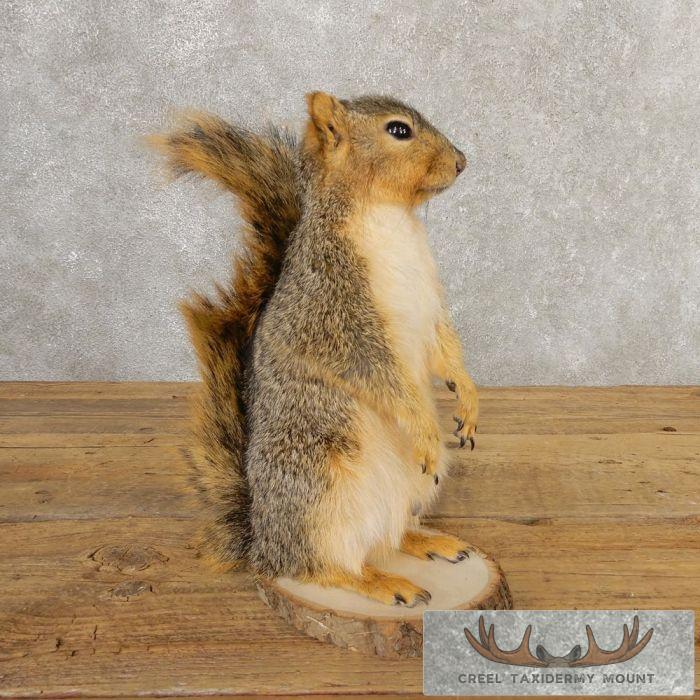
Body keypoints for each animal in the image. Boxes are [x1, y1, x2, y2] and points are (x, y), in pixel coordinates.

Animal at [149, 93, 479, 607]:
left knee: (388, 539)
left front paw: (467, 398)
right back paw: (383, 584)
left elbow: (445, 347)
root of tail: (263, 541)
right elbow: (380, 375)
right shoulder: (334, 316)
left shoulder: (430, 305)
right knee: (323, 567)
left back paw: (427, 542)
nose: (462, 162)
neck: (389, 218)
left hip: (412, 490)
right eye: (398, 130)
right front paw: (425, 426)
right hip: (319, 491)